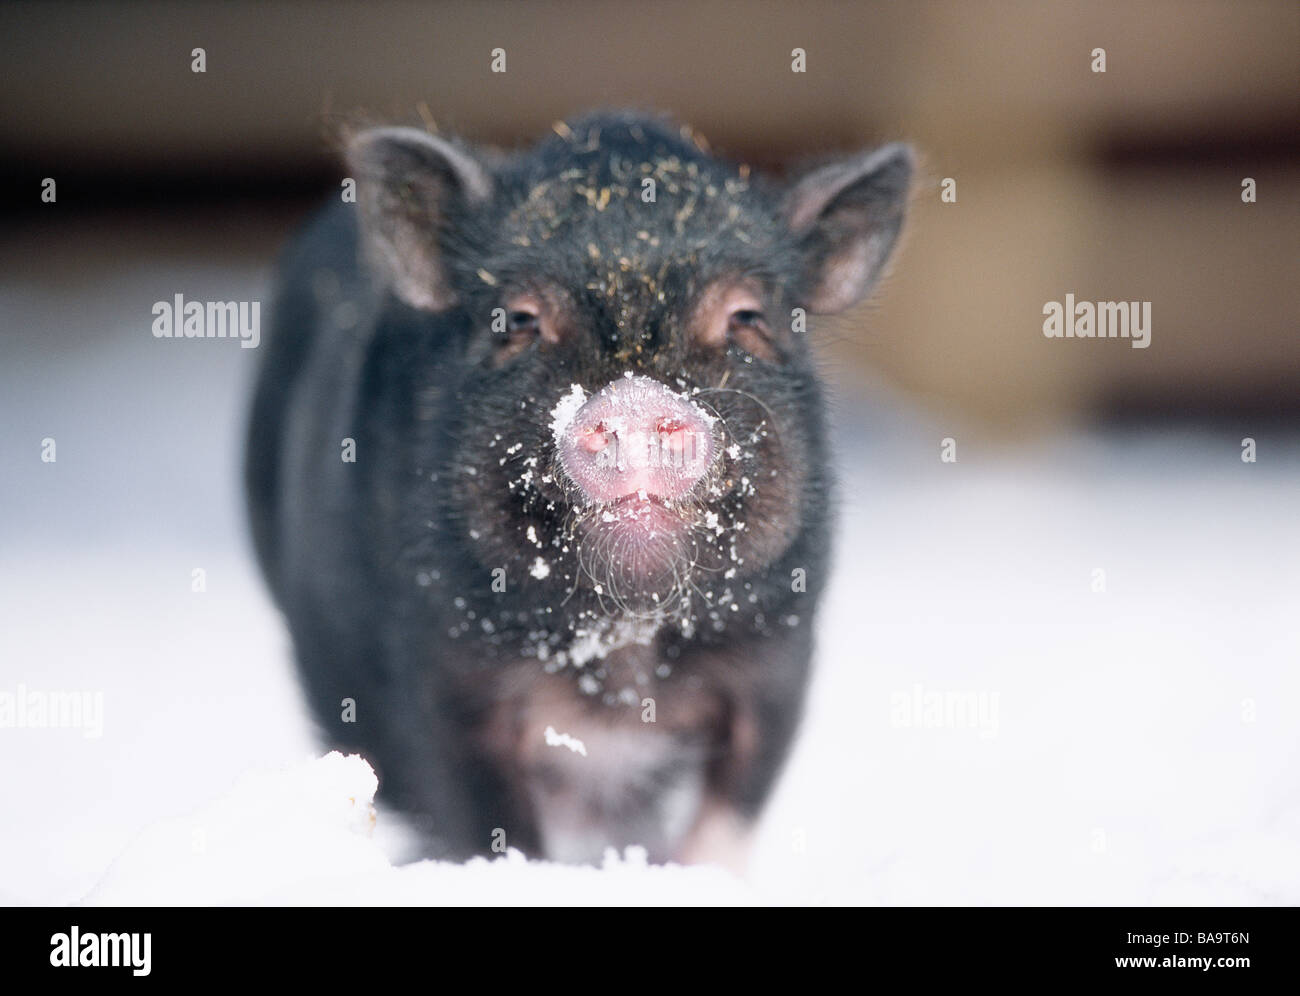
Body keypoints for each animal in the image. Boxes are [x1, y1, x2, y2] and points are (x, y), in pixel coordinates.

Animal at [246, 110, 912, 867]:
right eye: (519, 319)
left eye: (746, 316)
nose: (633, 396)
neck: (621, 655)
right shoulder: (442, 679)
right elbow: (492, 823)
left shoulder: (778, 660)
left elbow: (730, 813)